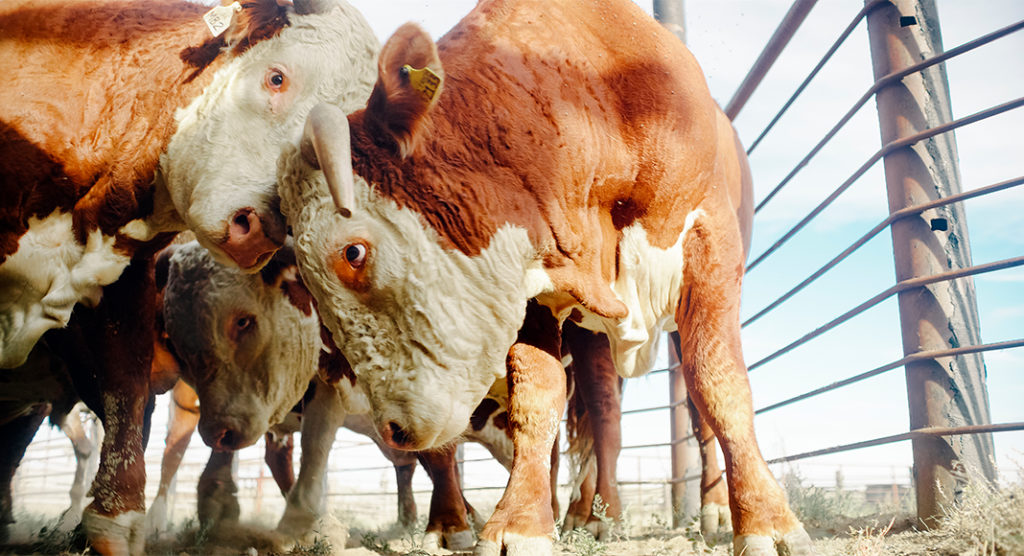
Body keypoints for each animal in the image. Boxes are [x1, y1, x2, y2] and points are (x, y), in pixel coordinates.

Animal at [278, 0, 815, 554]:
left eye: (353, 252)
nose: (395, 429)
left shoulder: (711, 242)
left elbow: (718, 384)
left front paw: (765, 520)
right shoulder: (534, 294)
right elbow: (538, 396)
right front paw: (521, 521)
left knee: (679, 411)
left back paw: (708, 508)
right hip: (591, 334)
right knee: (603, 416)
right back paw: (591, 512)